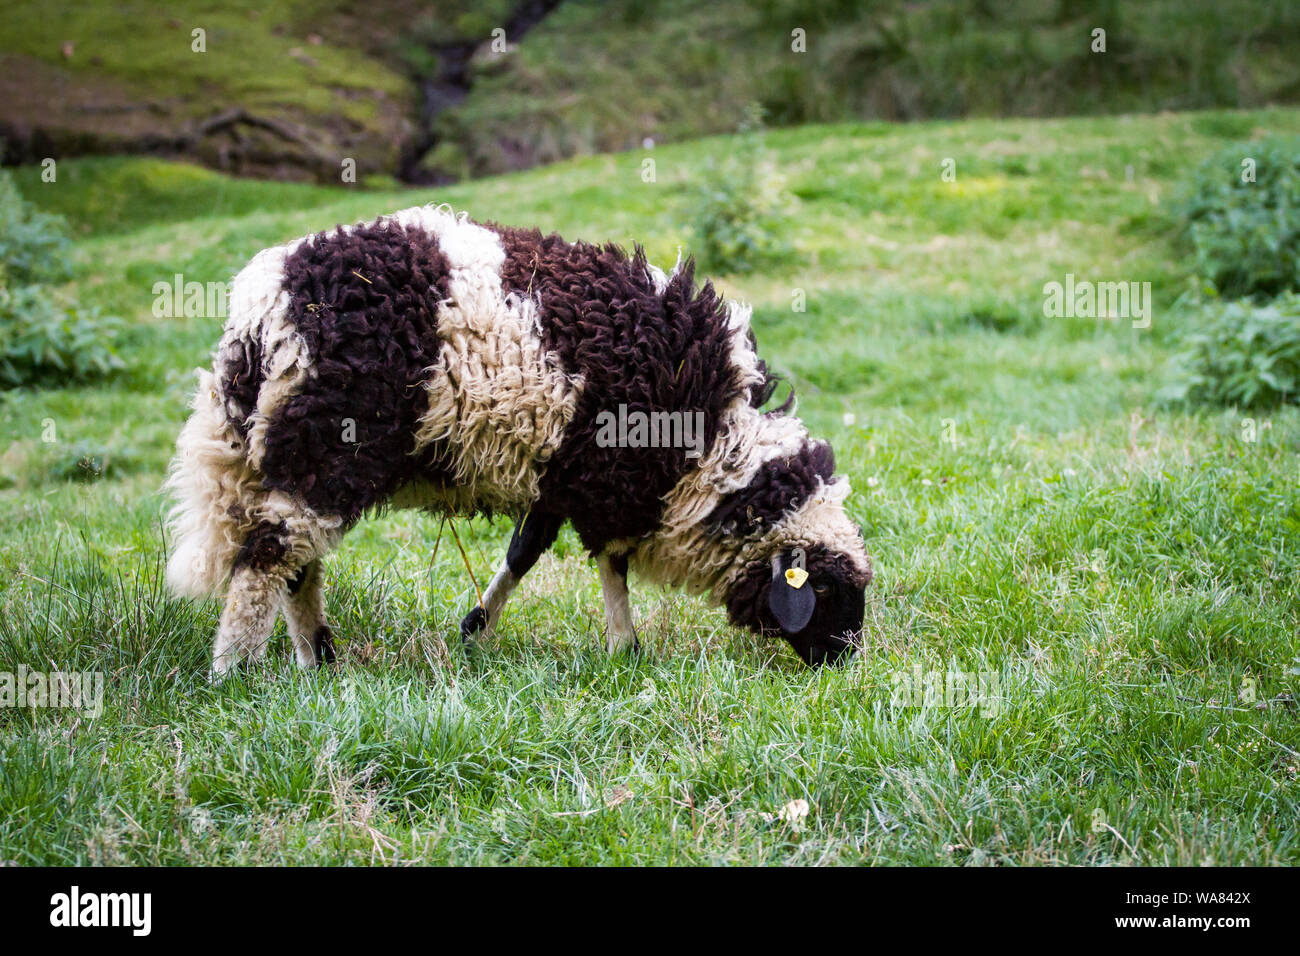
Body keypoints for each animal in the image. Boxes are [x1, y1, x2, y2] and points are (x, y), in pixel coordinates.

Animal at [165, 205, 872, 674]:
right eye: (825, 590)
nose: (842, 665)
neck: (716, 453)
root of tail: (263, 307)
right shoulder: (612, 480)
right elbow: (612, 564)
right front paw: (625, 648)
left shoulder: (565, 477)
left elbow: (524, 552)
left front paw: (476, 628)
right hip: (326, 442)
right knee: (270, 554)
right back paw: (237, 670)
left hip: (301, 451)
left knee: (294, 558)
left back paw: (318, 657)